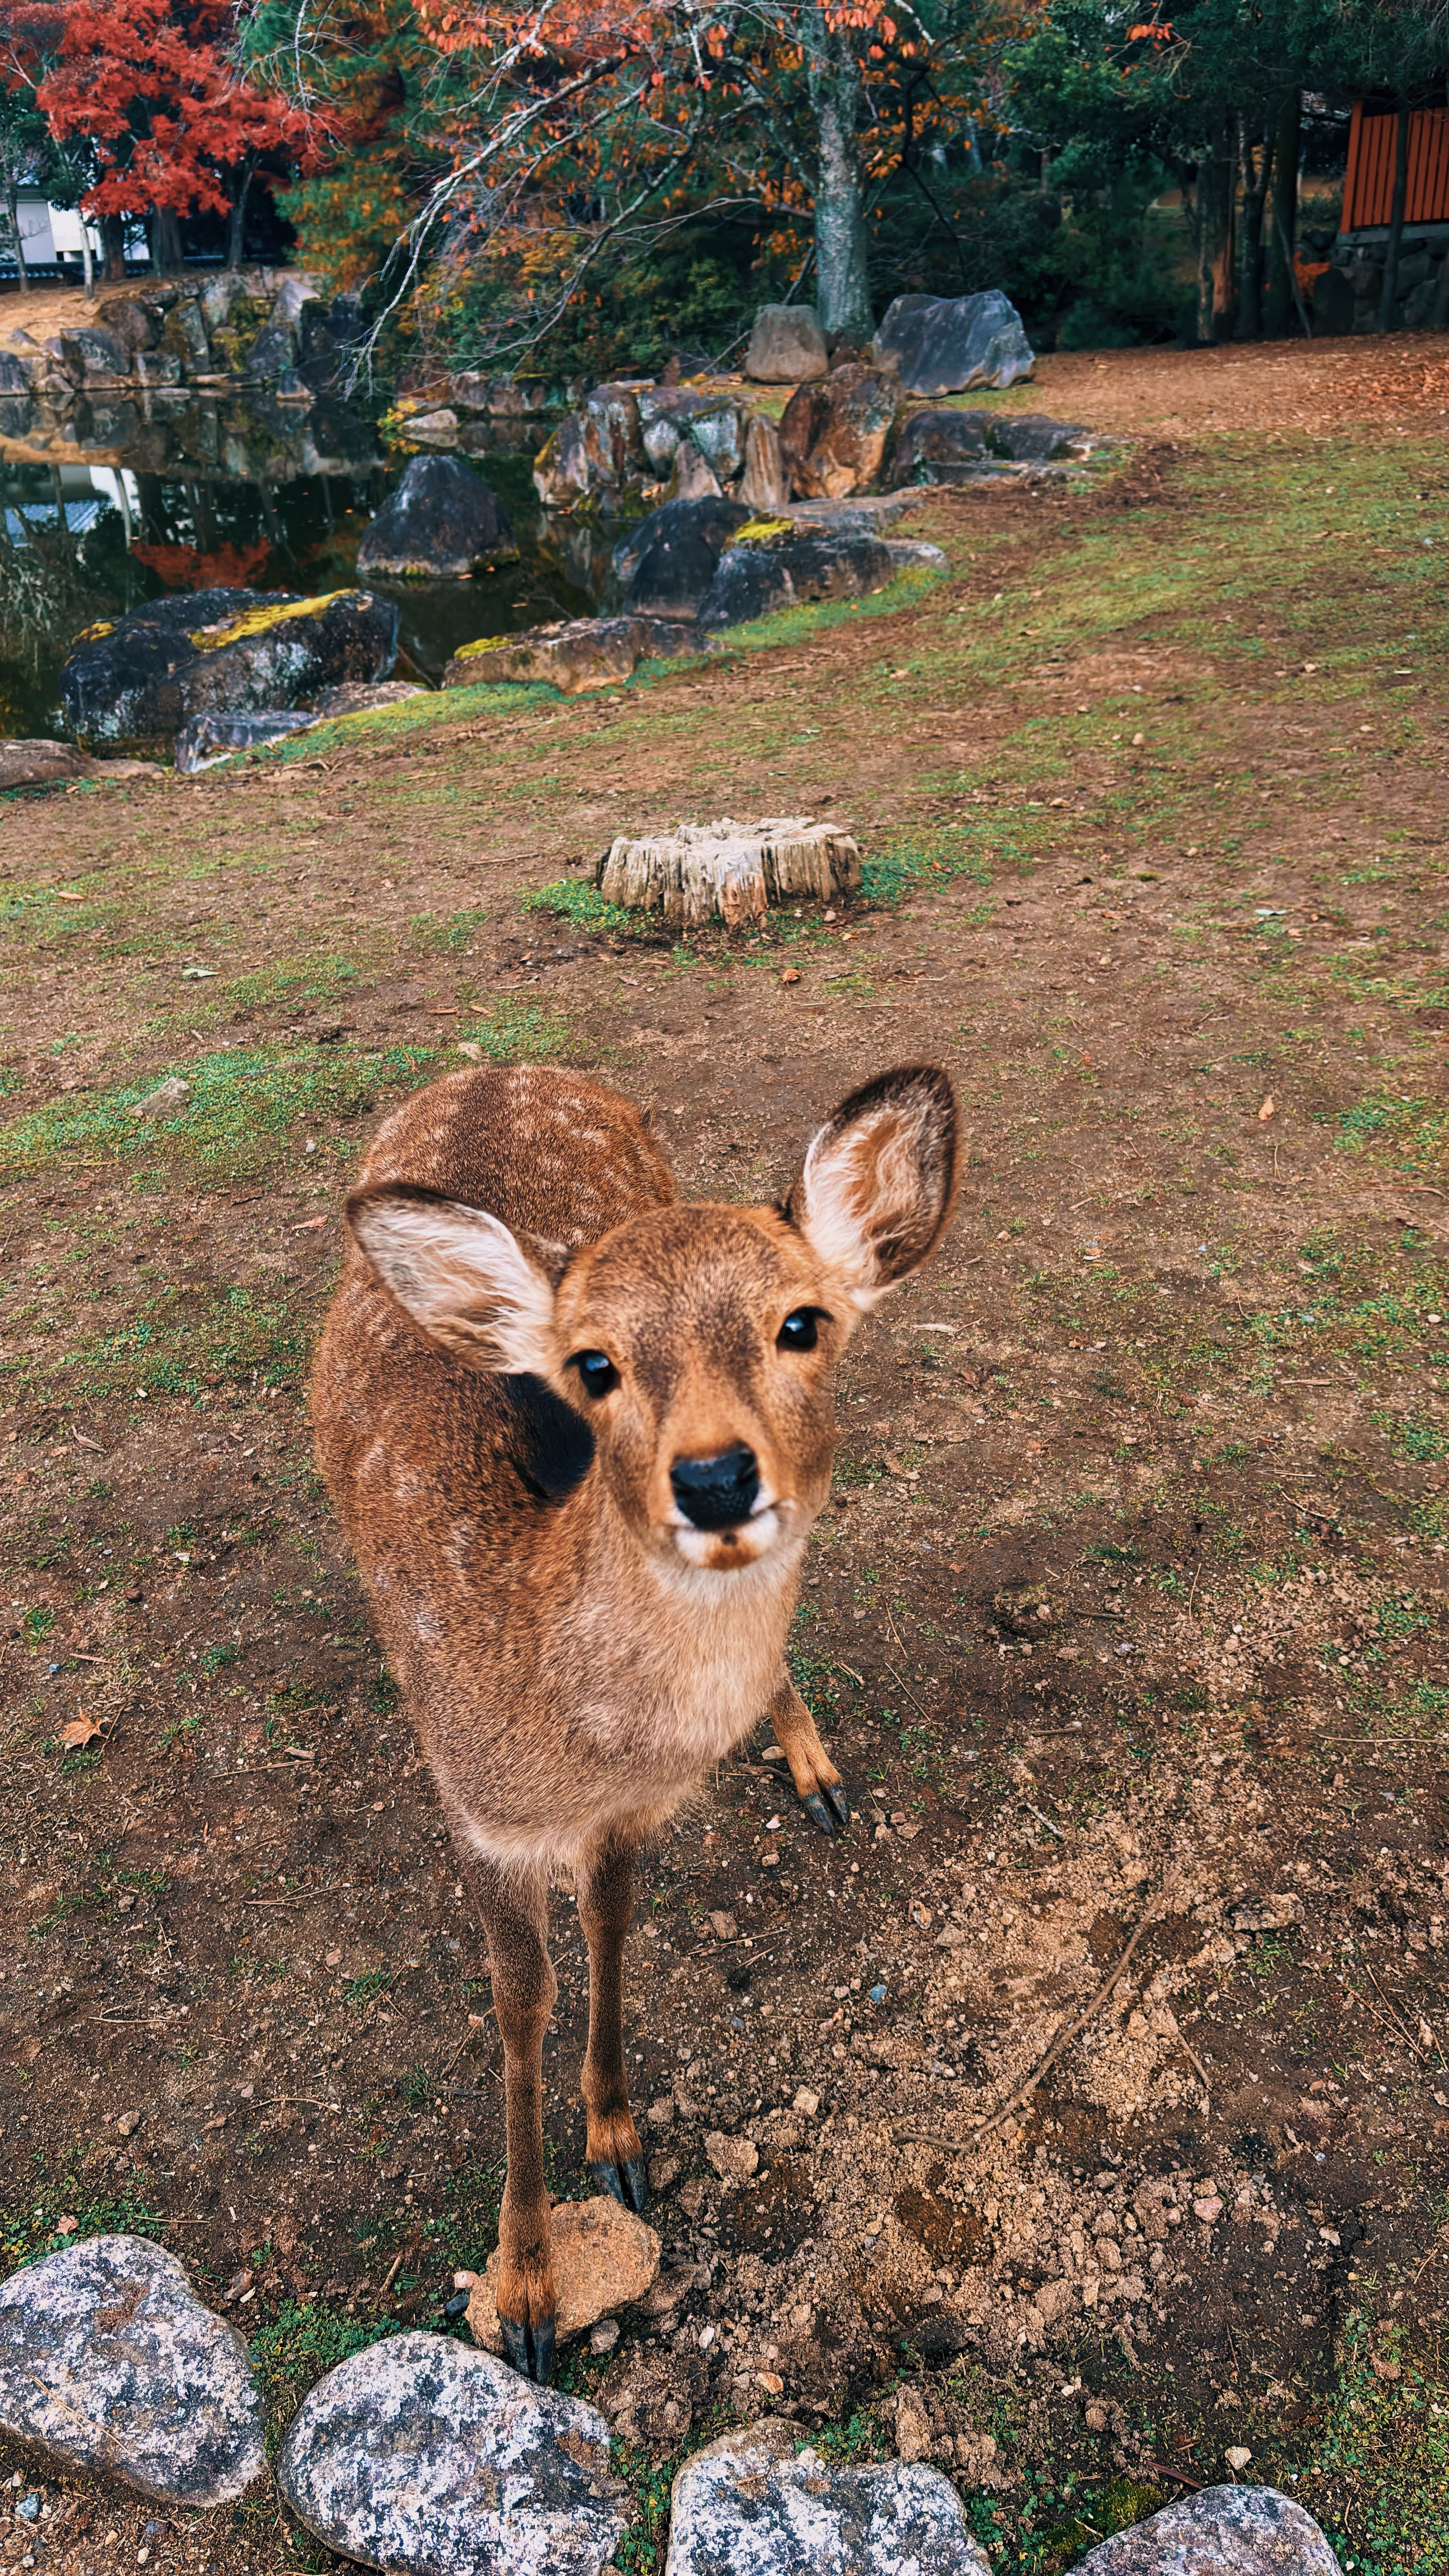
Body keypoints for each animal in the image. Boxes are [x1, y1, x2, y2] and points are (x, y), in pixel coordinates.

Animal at [312, 1057, 959, 2383]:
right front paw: (526, 2297)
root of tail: (498, 1064)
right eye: (593, 1365)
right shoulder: (475, 1809)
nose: (713, 1478)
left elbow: (611, 1924)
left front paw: (616, 2138)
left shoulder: (628, 1813)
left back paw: (813, 1767)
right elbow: (518, 2006)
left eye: (801, 1322)